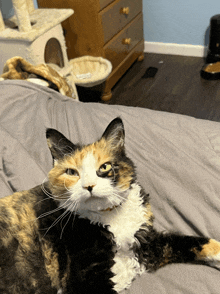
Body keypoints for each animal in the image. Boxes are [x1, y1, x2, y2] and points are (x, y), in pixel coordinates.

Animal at [0, 117, 220, 294]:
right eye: (72, 172)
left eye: (104, 167)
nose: (89, 186)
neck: (111, 216)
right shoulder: (86, 279)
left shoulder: (149, 245)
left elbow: (192, 241)